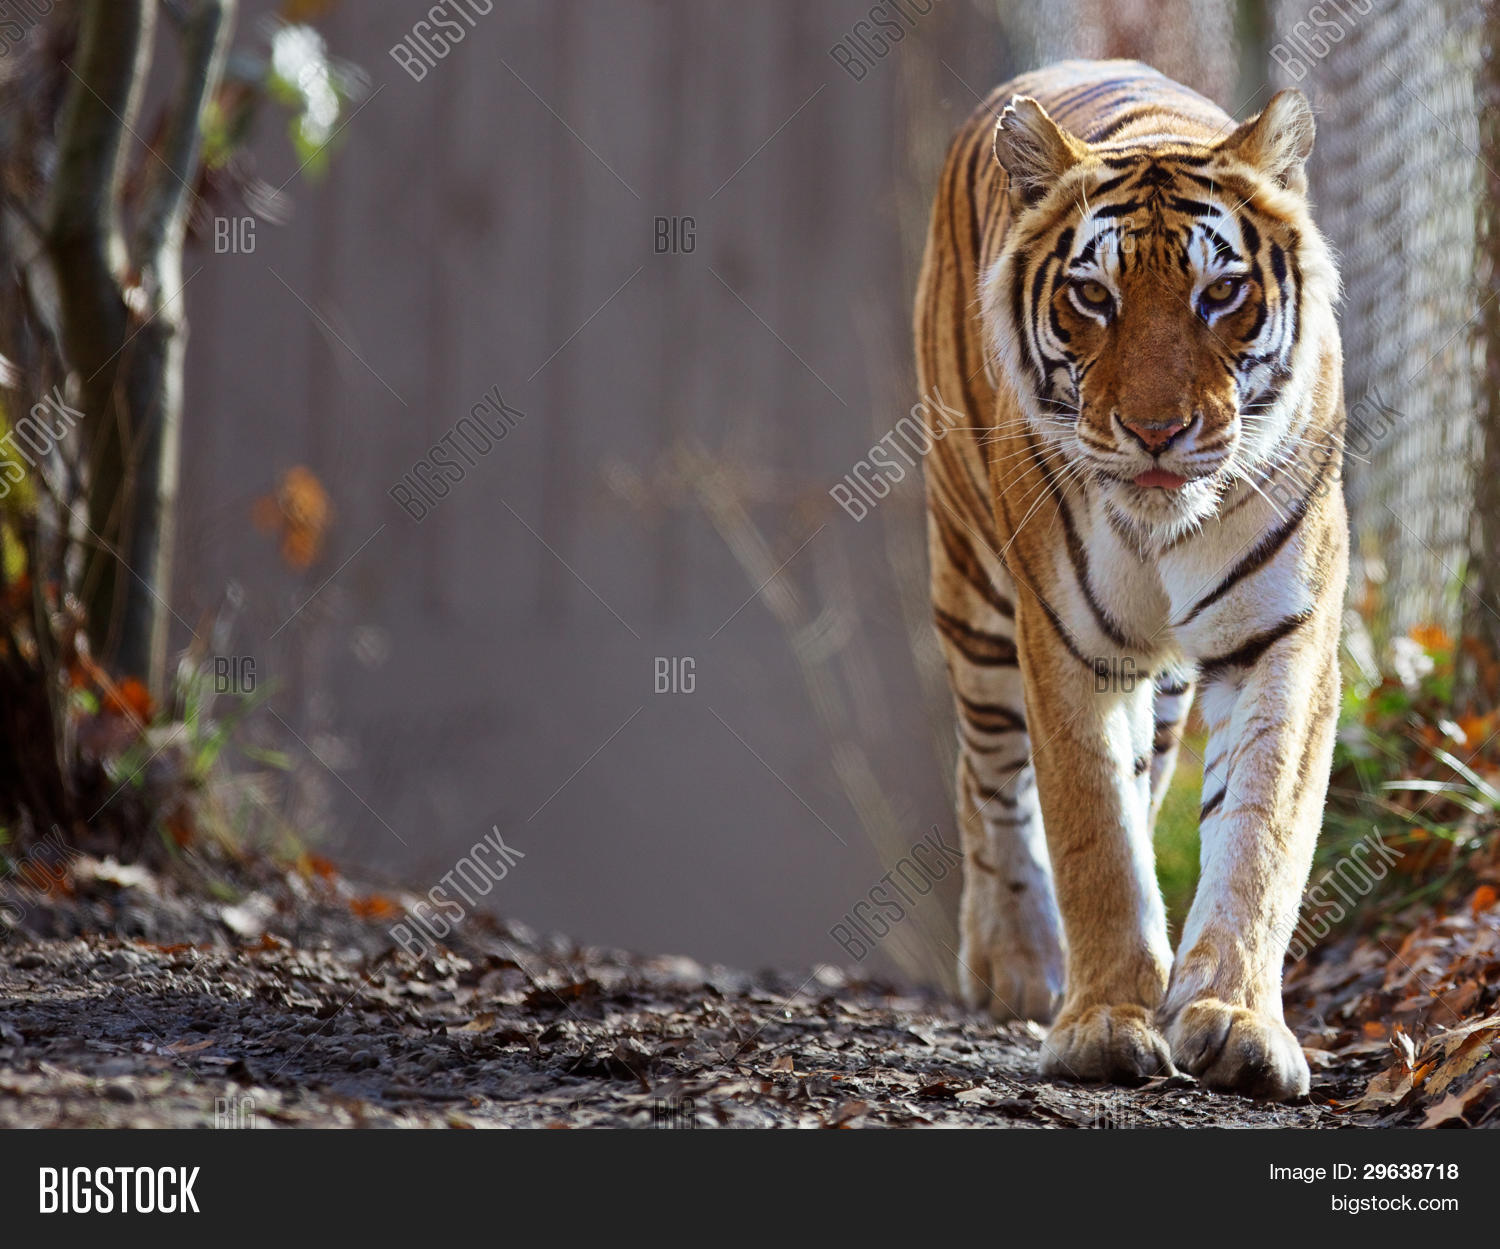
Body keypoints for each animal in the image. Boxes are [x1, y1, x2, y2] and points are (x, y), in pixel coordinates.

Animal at [914, 59, 1346, 1100]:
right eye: (1093, 296)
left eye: (1221, 292)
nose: (1156, 431)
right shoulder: (1066, 641)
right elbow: (1092, 837)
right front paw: (1105, 1025)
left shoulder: (1282, 636)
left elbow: (1260, 836)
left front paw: (1234, 1022)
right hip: (975, 592)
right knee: (988, 775)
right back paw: (1017, 963)